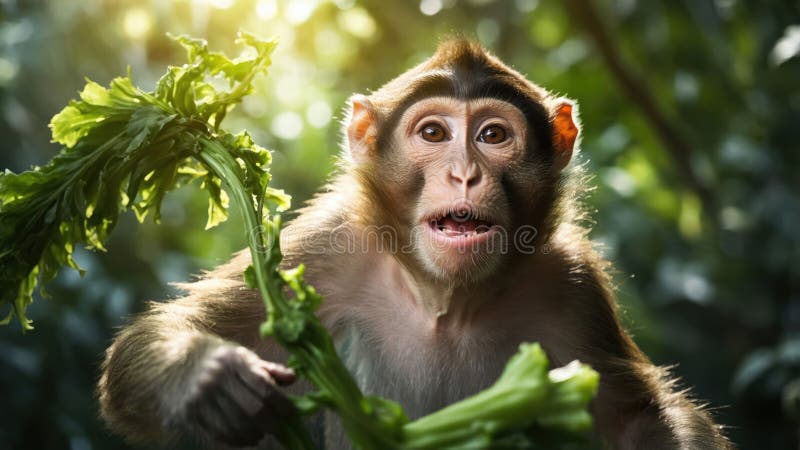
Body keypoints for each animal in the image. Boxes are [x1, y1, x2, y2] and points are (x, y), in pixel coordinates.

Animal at [97, 39, 732, 449]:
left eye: (493, 135)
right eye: (433, 133)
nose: (465, 174)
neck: (444, 299)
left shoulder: (573, 289)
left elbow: (640, 421)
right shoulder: (324, 249)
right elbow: (162, 334)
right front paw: (207, 377)